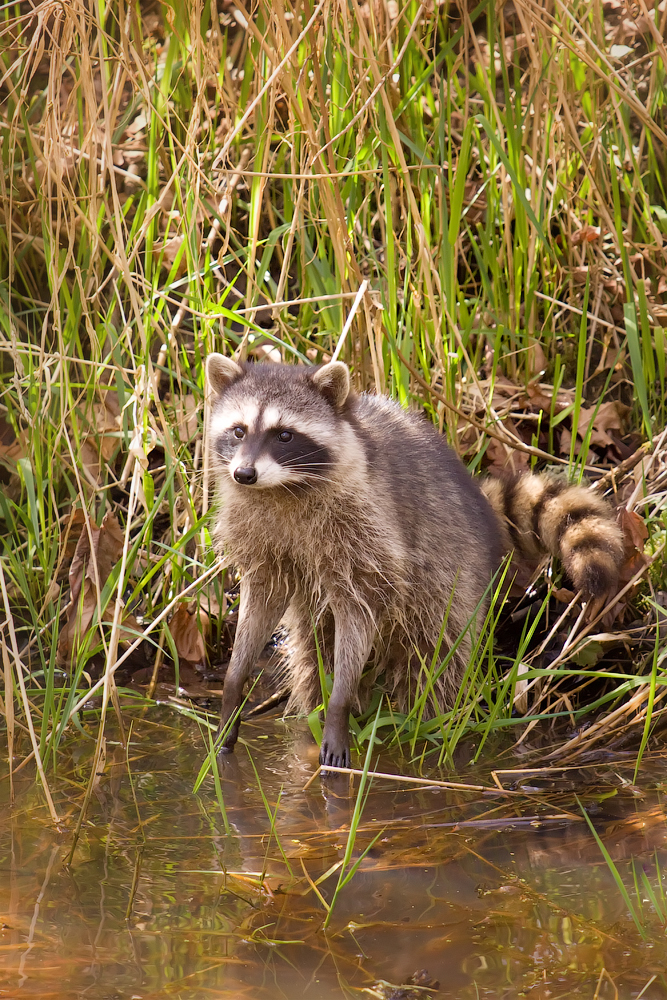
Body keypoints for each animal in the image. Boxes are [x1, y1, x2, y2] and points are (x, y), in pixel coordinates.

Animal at [206, 354, 624, 768]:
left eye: (285, 435)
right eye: (239, 431)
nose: (244, 474)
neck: (281, 488)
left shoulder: (364, 528)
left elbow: (362, 605)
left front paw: (340, 704)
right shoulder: (260, 535)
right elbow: (264, 598)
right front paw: (234, 685)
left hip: (451, 581)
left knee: (435, 665)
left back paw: (426, 734)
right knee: (313, 660)